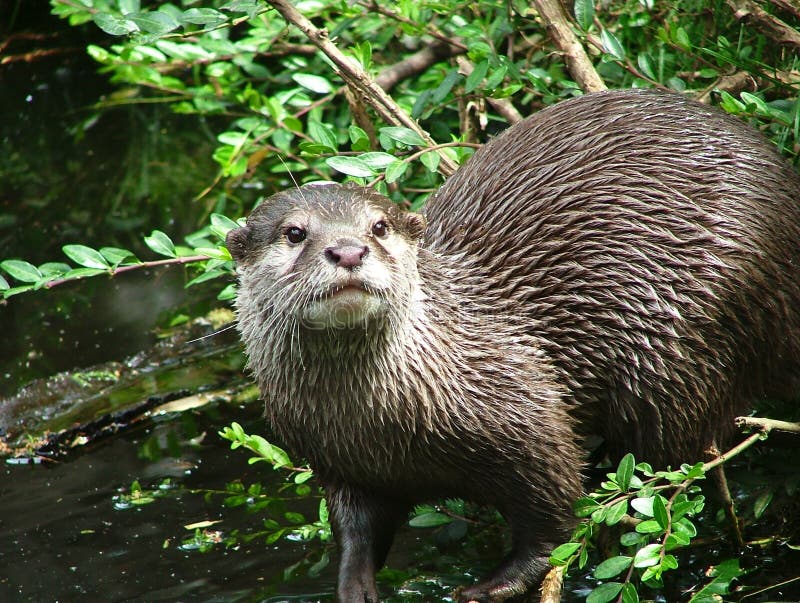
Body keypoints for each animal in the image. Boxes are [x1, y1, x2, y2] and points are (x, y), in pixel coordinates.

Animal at [226, 89, 800, 602]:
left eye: (380, 226)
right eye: (294, 232)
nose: (348, 250)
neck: (380, 423)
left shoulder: (527, 410)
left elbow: (553, 507)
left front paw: (498, 582)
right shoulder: (338, 464)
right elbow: (355, 533)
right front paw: (355, 587)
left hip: (685, 344)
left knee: (666, 458)